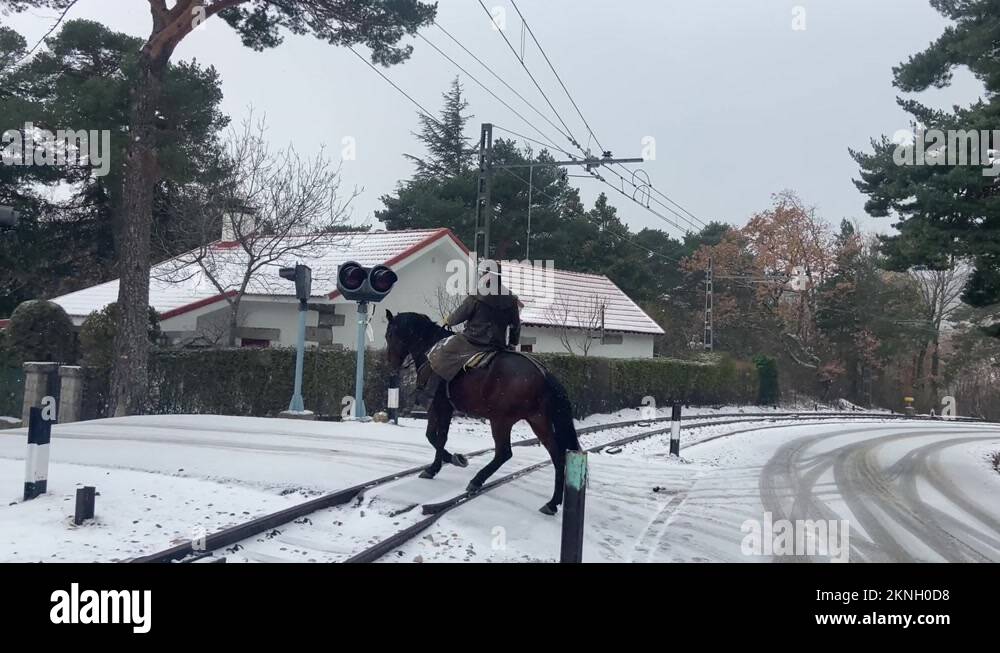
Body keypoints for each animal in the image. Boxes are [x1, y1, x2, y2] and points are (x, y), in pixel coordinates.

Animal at [384, 310, 581, 515]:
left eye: (389, 335)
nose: (391, 364)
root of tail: (544, 373)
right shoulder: (441, 408)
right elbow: (433, 436)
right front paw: (448, 460)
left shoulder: (440, 406)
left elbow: (437, 437)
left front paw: (441, 465)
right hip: (537, 421)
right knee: (557, 455)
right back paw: (553, 502)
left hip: (501, 420)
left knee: (504, 452)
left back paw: (477, 480)